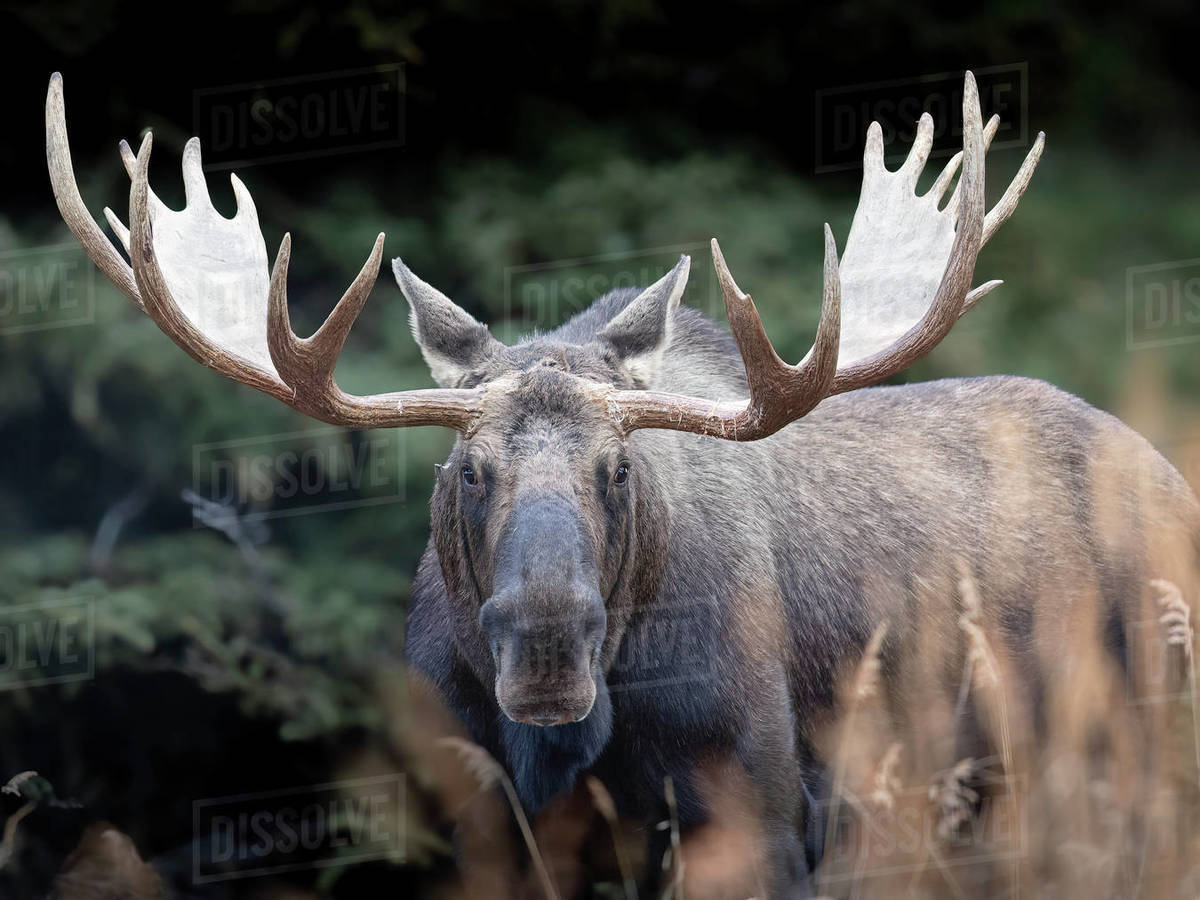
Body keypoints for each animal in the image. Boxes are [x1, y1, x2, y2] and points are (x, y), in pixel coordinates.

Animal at [46, 71, 1200, 897]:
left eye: (618, 469)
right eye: (470, 469)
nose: (549, 642)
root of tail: (1168, 472)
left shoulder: (765, 810)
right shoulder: (490, 826)